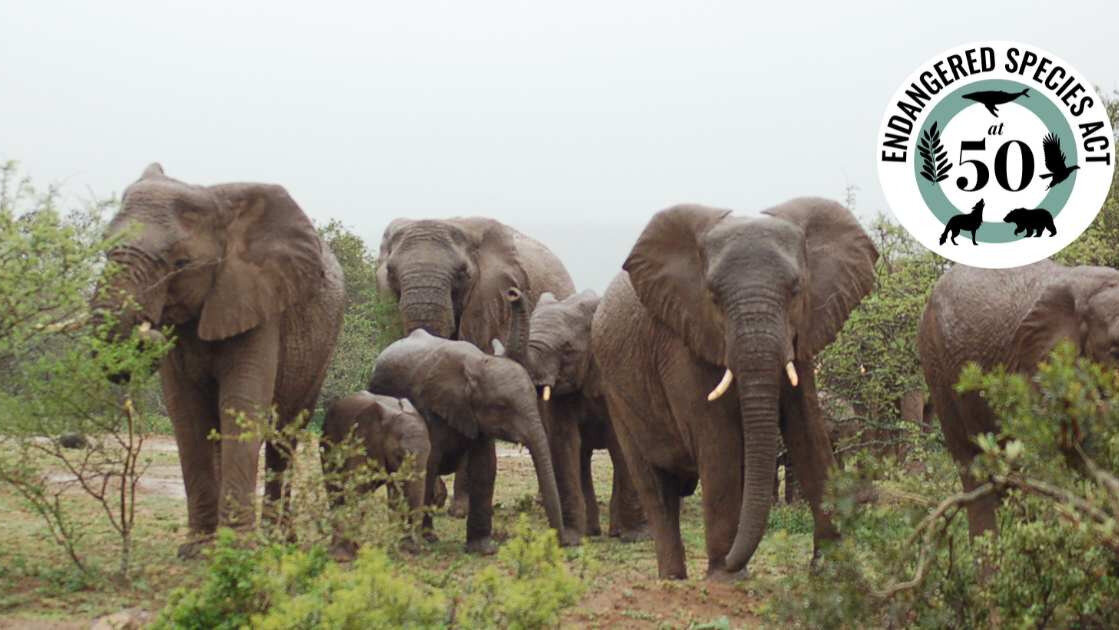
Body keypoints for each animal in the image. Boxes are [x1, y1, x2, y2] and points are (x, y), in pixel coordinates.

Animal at [89, 164, 345, 558]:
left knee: (284, 435)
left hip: (321, 350)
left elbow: (240, 404)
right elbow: (188, 415)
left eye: (180, 263)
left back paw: (279, 542)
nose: (145, 331)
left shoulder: (257, 297)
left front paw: (235, 552)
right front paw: (197, 550)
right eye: (104, 247)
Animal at [320, 392, 447, 559]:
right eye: (399, 455)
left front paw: (398, 550)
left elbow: (396, 493)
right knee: (335, 487)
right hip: (328, 439)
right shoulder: (362, 442)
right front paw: (347, 555)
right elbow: (357, 488)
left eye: (428, 454)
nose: (414, 549)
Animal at [367, 290, 578, 554]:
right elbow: (429, 463)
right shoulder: (430, 406)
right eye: (502, 407)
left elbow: (484, 467)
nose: (563, 542)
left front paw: (483, 549)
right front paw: (429, 538)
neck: (477, 362)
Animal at [512, 289, 646, 541]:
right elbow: (565, 442)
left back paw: (617, 531)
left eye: (567, 349)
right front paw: (573, 538)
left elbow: (619, 442)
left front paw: (635, 536)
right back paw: (591, 532)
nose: (513, 293)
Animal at [591, 198, 878, 579]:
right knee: (653, 484)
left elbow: (808, 432)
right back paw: (673, 579)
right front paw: (725, 577)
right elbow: (718, 440)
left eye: (796, 290)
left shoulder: (799, 336)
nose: (730, 560)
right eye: (713, 296)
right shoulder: (682, 339)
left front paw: (832, 570)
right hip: (616, 395)